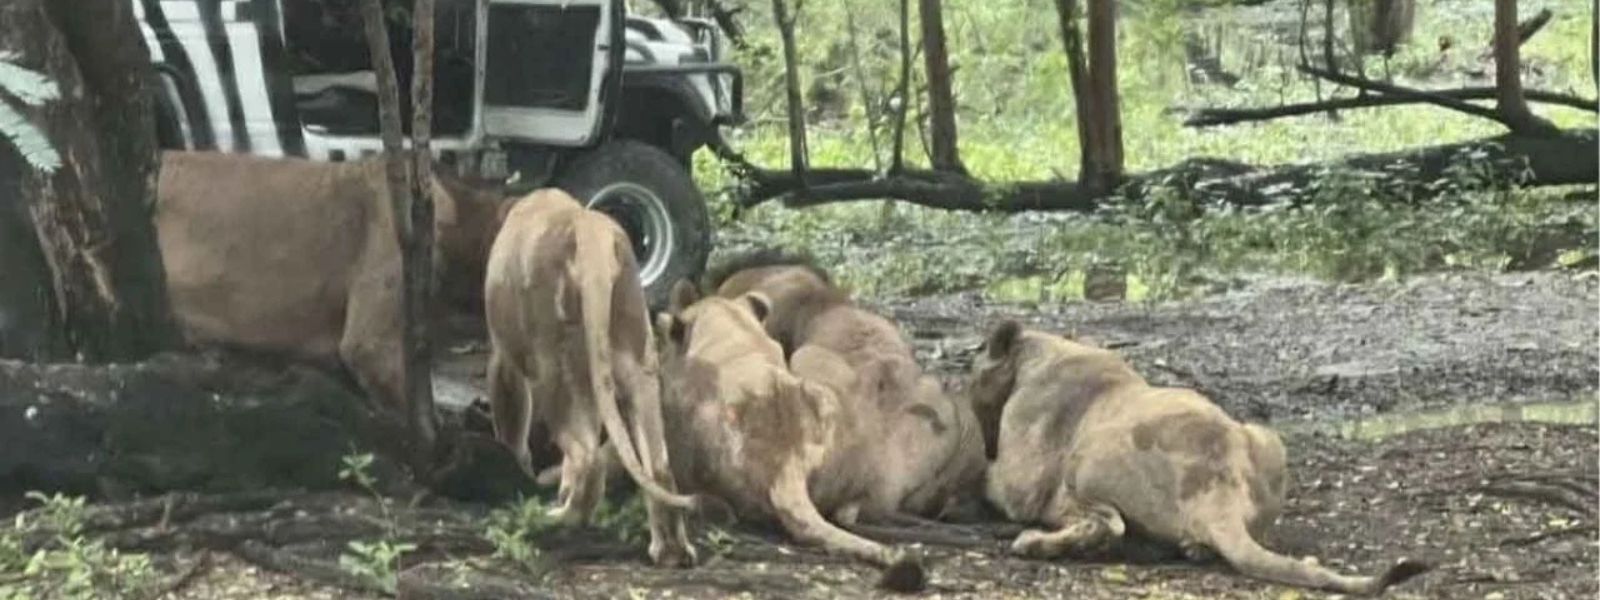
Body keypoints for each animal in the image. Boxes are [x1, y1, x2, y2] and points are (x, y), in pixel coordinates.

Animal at [483, 189, 700, 567]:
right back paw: (670, 550)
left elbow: (511, 421)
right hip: (636, 359)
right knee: (658, 465)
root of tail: (591, 233)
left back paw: (558, 519)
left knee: (588, 456)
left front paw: (518, 466)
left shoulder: (504, 355)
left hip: (555, 367)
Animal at [968, 321, 1429, 596]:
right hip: (1266, 438)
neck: (1041, 352)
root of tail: (1219, 486)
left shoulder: (1019, 482)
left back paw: (1032, 543)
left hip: (1089, 456)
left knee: (1108, 525)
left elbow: (990, 478)